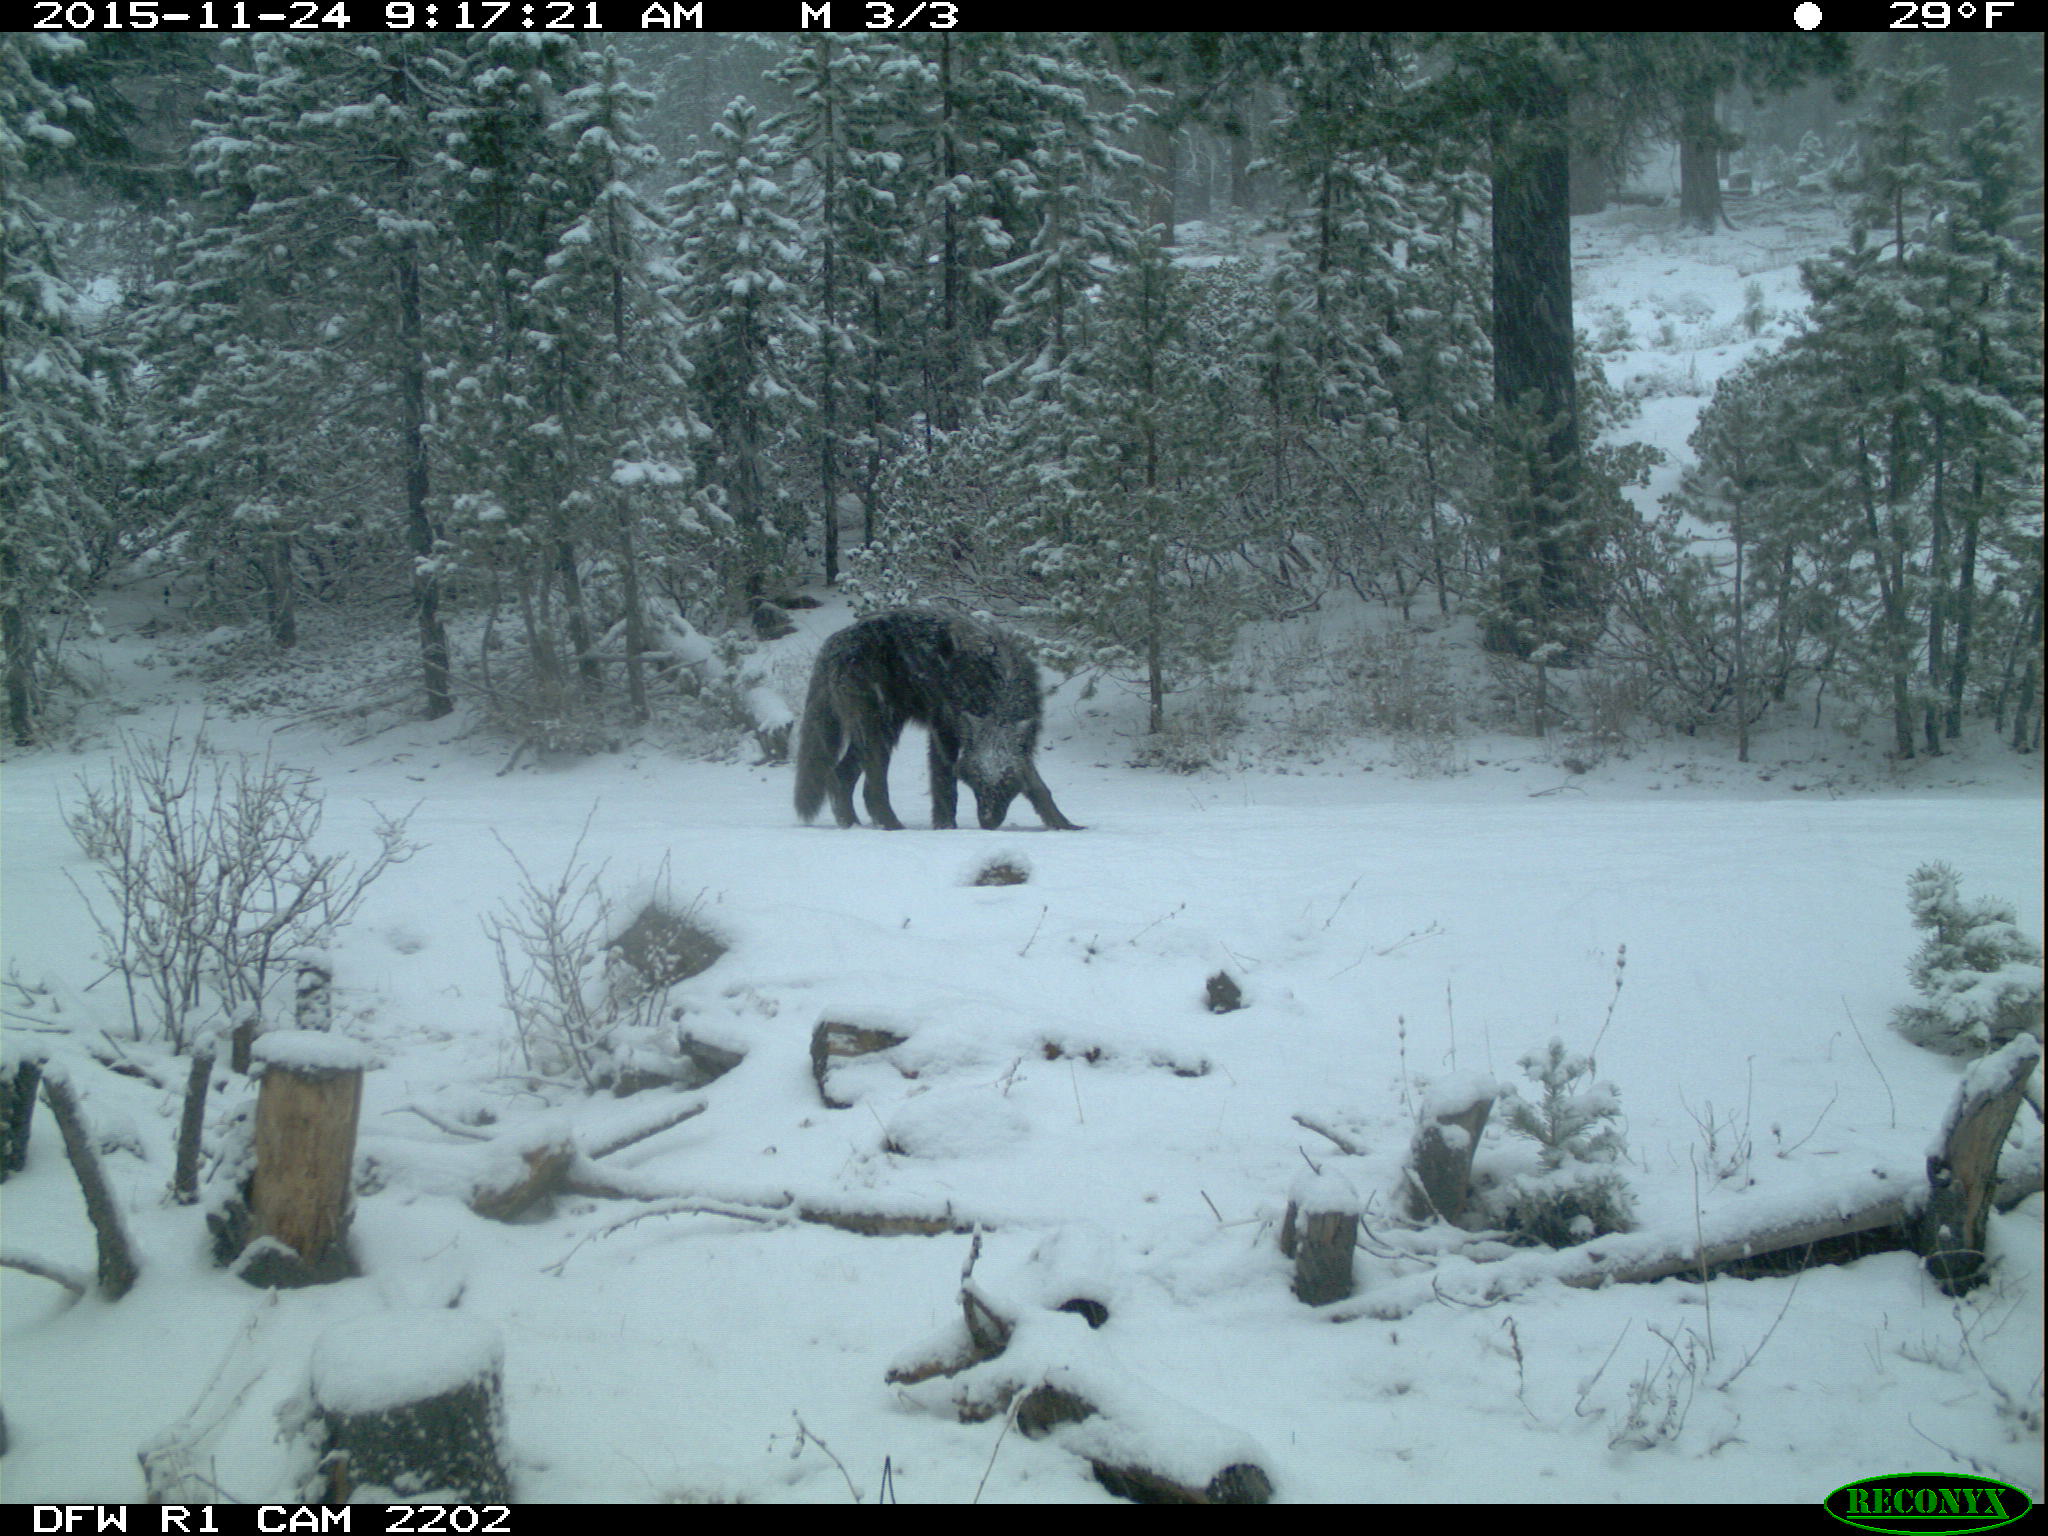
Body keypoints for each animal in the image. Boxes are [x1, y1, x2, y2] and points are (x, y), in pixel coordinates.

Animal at [793, 609, 1081, 831]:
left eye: (1007, 784)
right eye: (975, 781)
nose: (987, 823)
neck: (997, 679)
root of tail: (834, 641)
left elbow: (1040, 788)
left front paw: (1064, 825)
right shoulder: (943, 731)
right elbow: (945, 786)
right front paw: (945, 828)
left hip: (877, 731)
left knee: (839, 775)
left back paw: (851, 825)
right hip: (881, 731)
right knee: (872, 790)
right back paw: (891, 827)